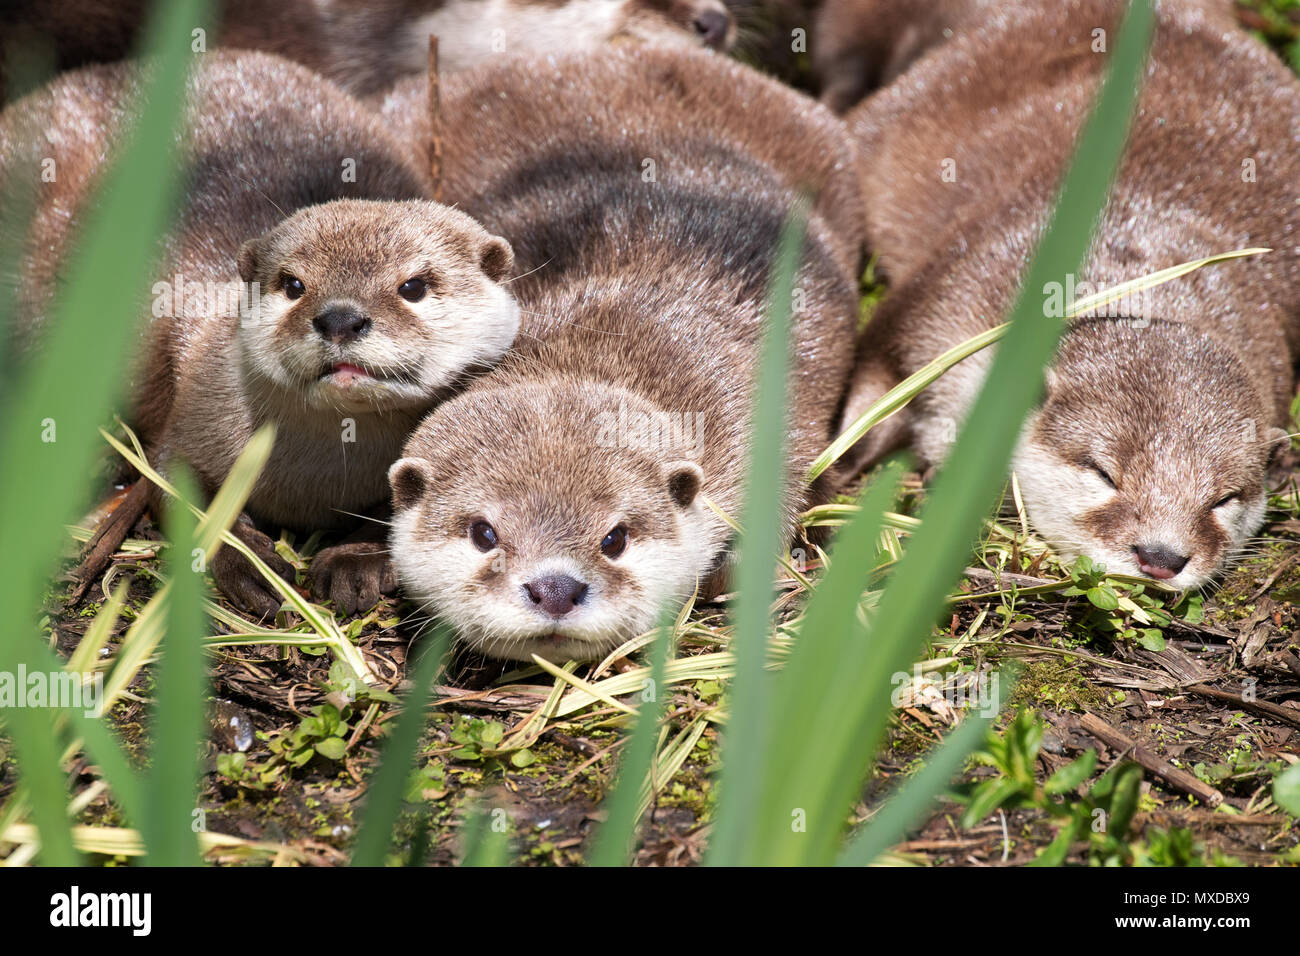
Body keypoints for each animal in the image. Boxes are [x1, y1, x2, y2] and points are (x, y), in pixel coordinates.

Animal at [1, 51, 519, 616]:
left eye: (414, 286)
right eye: (293, 284)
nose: (340, 318)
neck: (316, 483)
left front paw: (354, 561)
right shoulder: (194, 409)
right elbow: (172, 485)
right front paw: (251, 565)